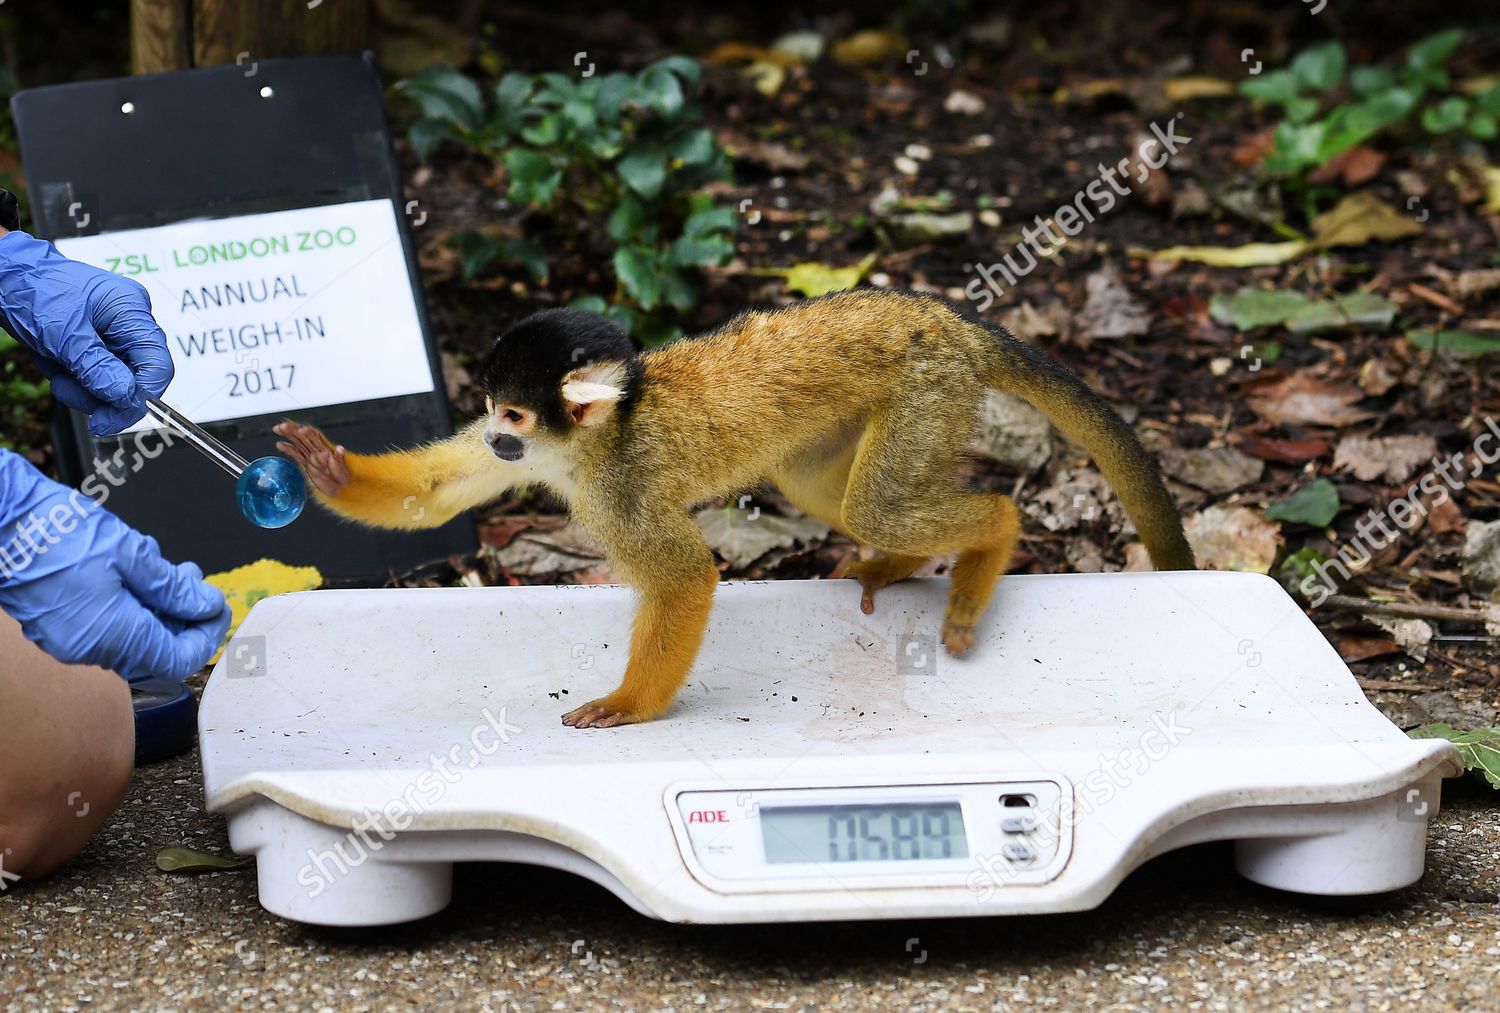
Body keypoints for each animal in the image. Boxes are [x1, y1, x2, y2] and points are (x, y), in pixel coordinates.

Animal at [274, 289, 1193, 729]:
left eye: (514, 413)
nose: (499, 440)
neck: (595, 439)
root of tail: (944, 318)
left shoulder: (620, 489)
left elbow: (685, 578)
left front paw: (631, 704)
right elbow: (437, 491)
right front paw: (327, 468)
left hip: (929, 386)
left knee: (882, 503)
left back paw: (987, 542)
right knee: (830, 493)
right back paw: (899, 562)